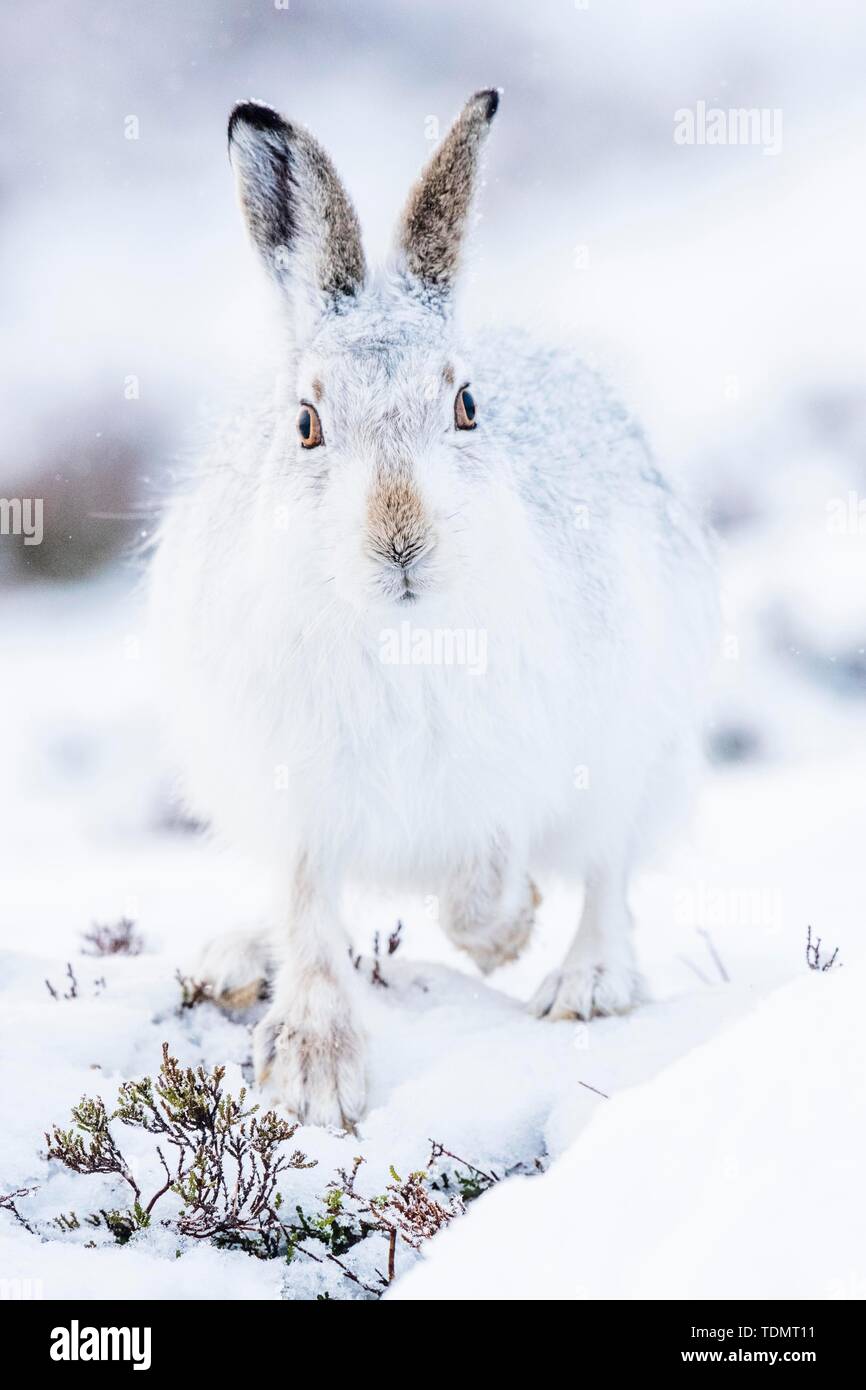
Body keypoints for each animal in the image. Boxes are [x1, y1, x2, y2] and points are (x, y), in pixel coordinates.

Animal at [149, 89, 717, 1129]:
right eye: (305, 423)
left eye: (467, 404)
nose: (400, 540)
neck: (399, 633)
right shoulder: (296, 790)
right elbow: (309, 907)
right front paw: (313, 1071)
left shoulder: (519, 761)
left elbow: (482, 879)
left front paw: (507, 933)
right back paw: (231, 959)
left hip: (639, 748)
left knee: (608, 870)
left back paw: (584, 983)